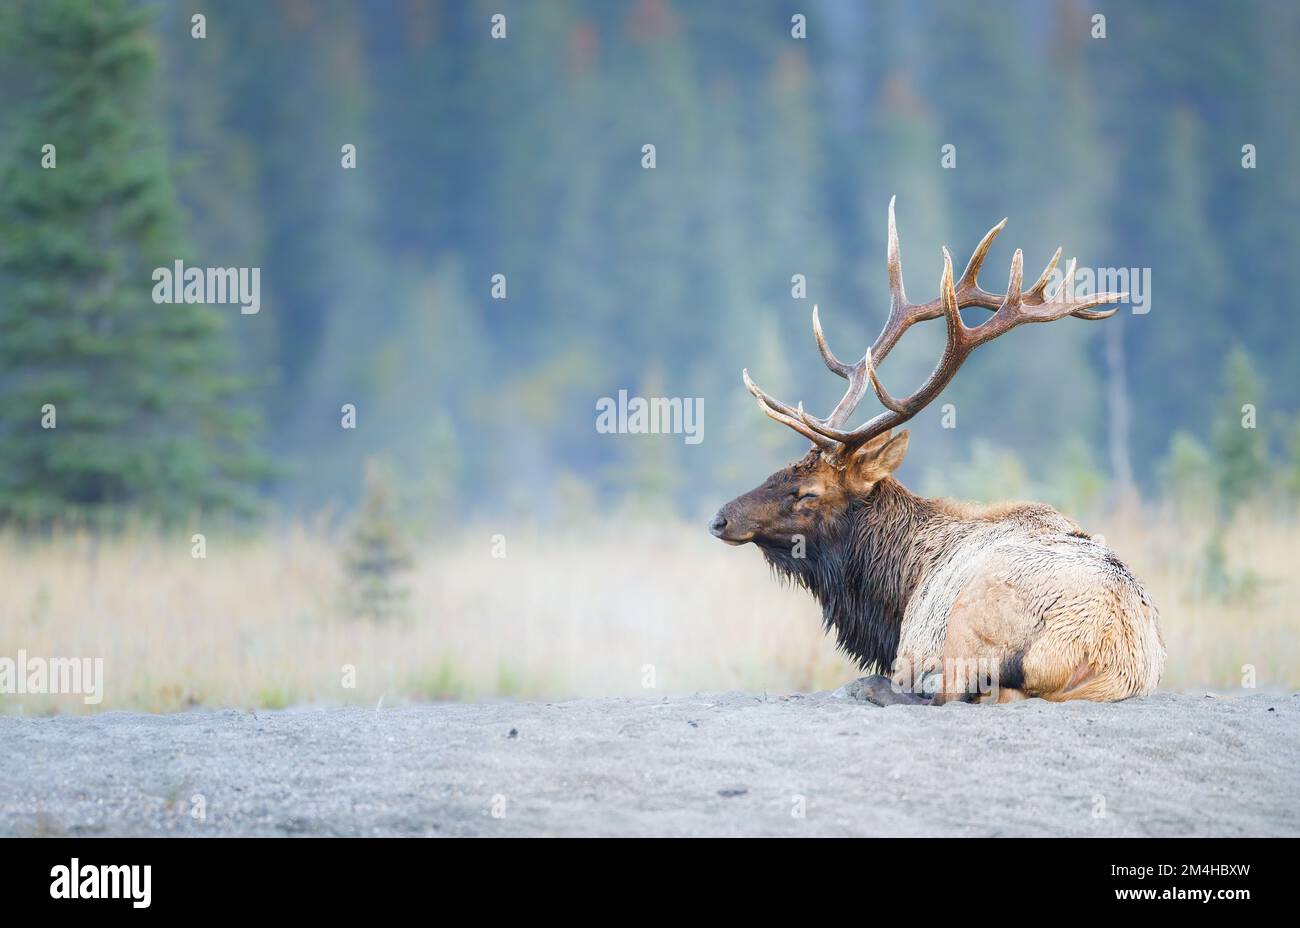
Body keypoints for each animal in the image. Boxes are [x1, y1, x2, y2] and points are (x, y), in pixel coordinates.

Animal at [709, 199, 1165, 705]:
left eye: (807, 492)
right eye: (781, 470)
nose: (722, 518)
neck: (895, 590)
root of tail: (1102, 655)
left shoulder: (913, 641)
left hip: (970, 614)